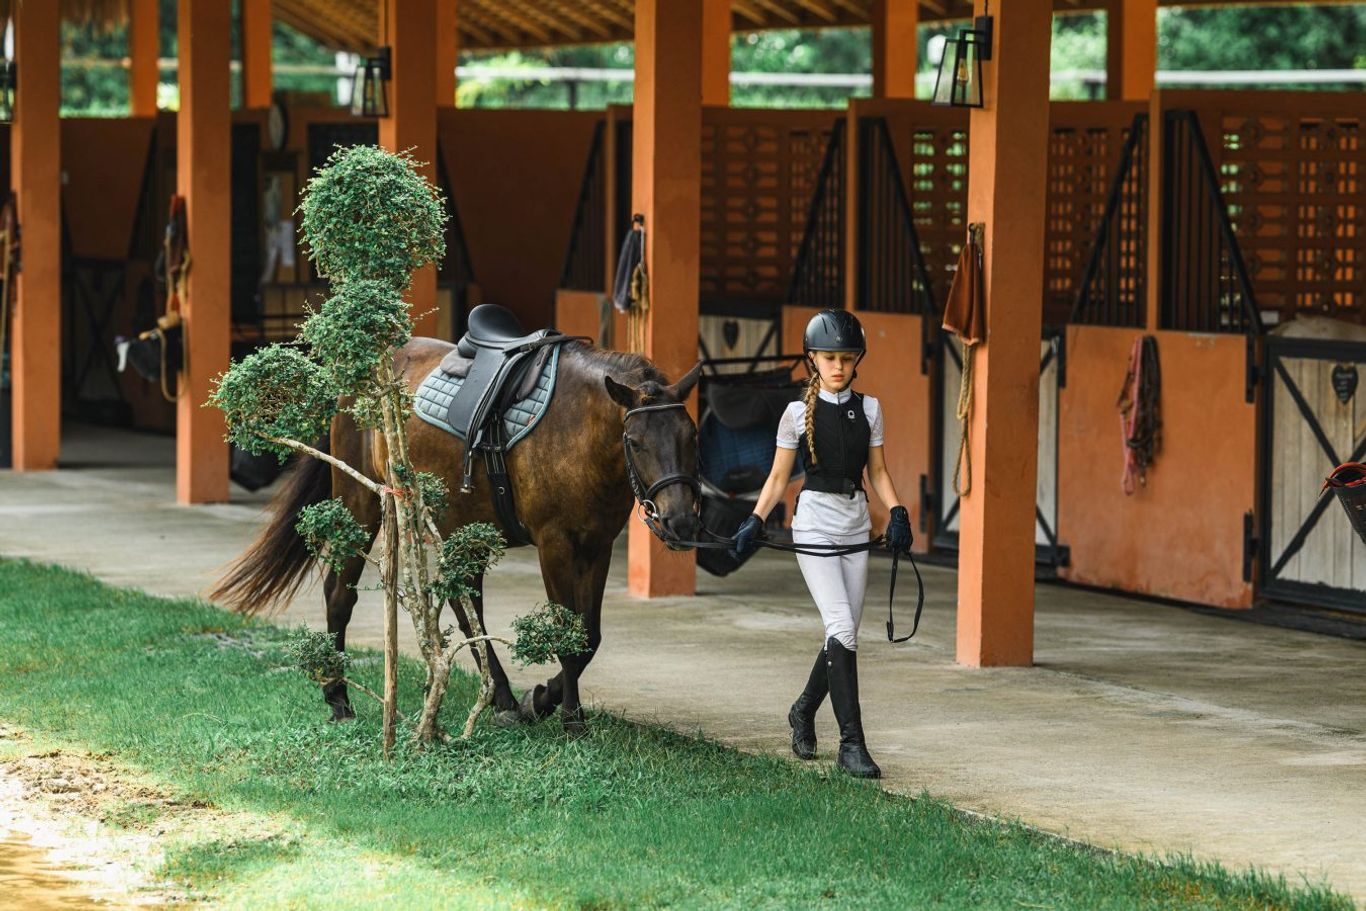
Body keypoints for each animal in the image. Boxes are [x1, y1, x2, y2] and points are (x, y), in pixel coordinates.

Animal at [211, 335, 703, 735]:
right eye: (635, 441)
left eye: (692, 437)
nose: (680, 521)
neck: (577, 427)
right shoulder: (556, 546)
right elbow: (569, 637)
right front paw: (565, 716)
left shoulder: (596, 546)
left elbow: (589, 637)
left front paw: (544, 701)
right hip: (361, 500)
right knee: (340, 593)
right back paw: (339, 699)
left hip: (459, 525)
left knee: (468, 610)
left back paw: (503, 699)